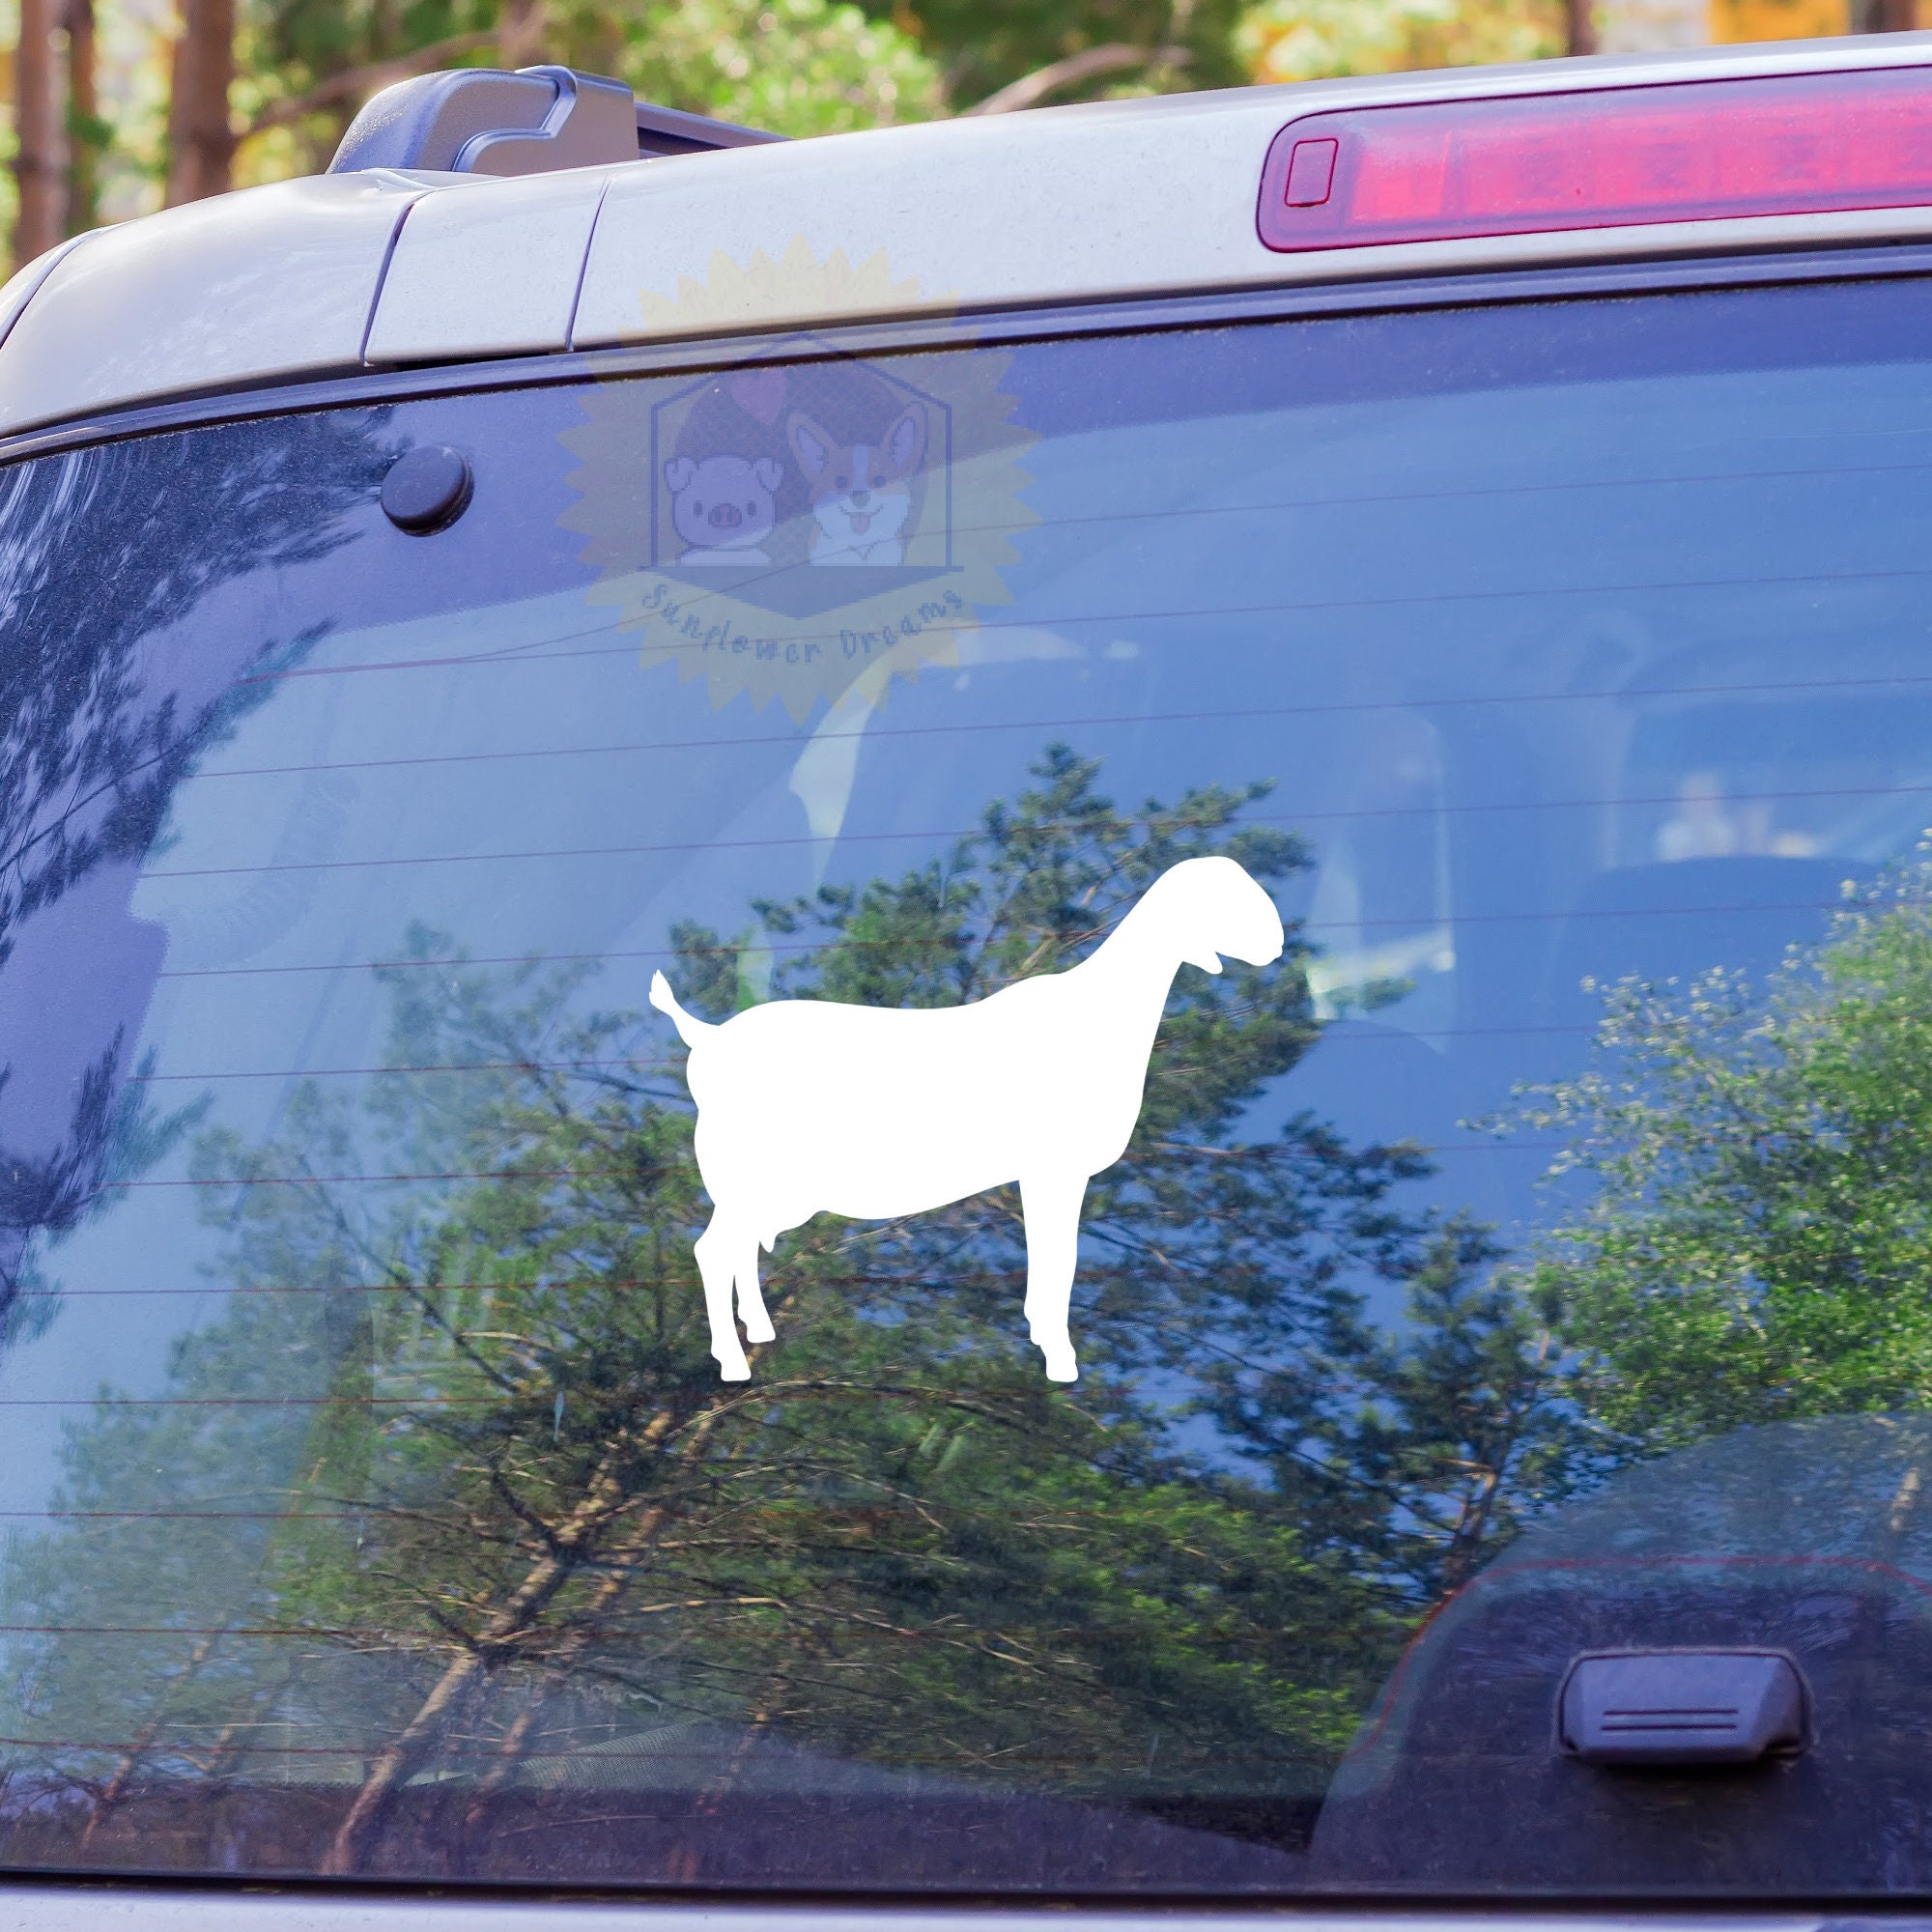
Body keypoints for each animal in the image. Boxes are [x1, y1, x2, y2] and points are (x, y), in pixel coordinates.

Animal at [651, 855, 1285, 1382]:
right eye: (1228, 896)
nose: (1277, 944)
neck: (1100, 1014)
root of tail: (707, 1040)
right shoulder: (1056, 1172)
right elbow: (1062, 1262)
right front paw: (1060, 1358)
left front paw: (1041, 1338)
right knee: (713, 1252)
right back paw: (733, 1361)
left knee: (740, 1251)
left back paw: (759, 1331)